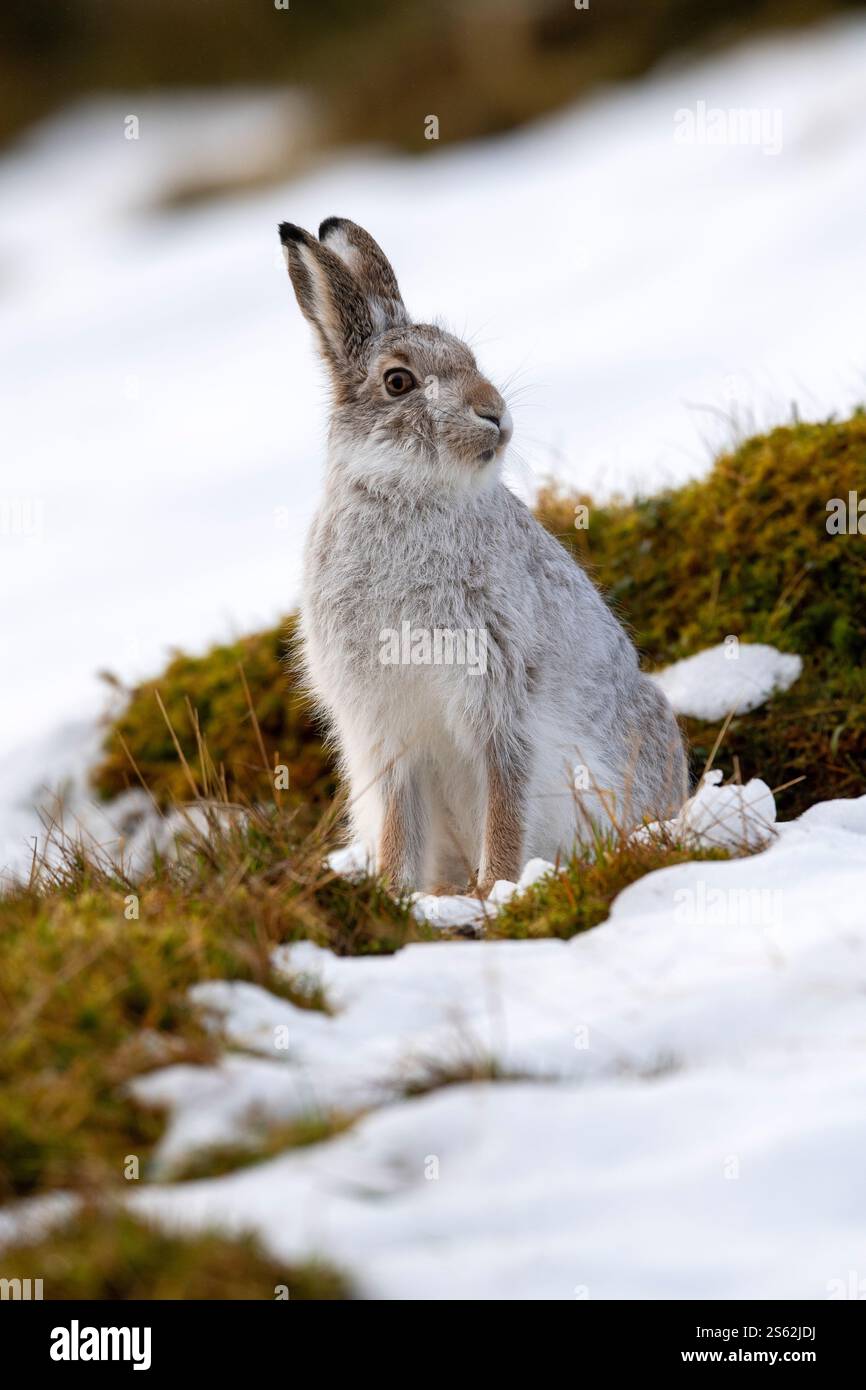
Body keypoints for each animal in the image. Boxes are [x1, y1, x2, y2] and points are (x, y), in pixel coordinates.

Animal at [279, 216, 687, 894]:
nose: (494, 412)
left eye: (469, 359)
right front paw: (398, 894)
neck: (411, 497)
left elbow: (505, 797)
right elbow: (401, 821)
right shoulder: (388, 729)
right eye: (398, 382)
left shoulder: (501, 697)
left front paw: (497, 887)